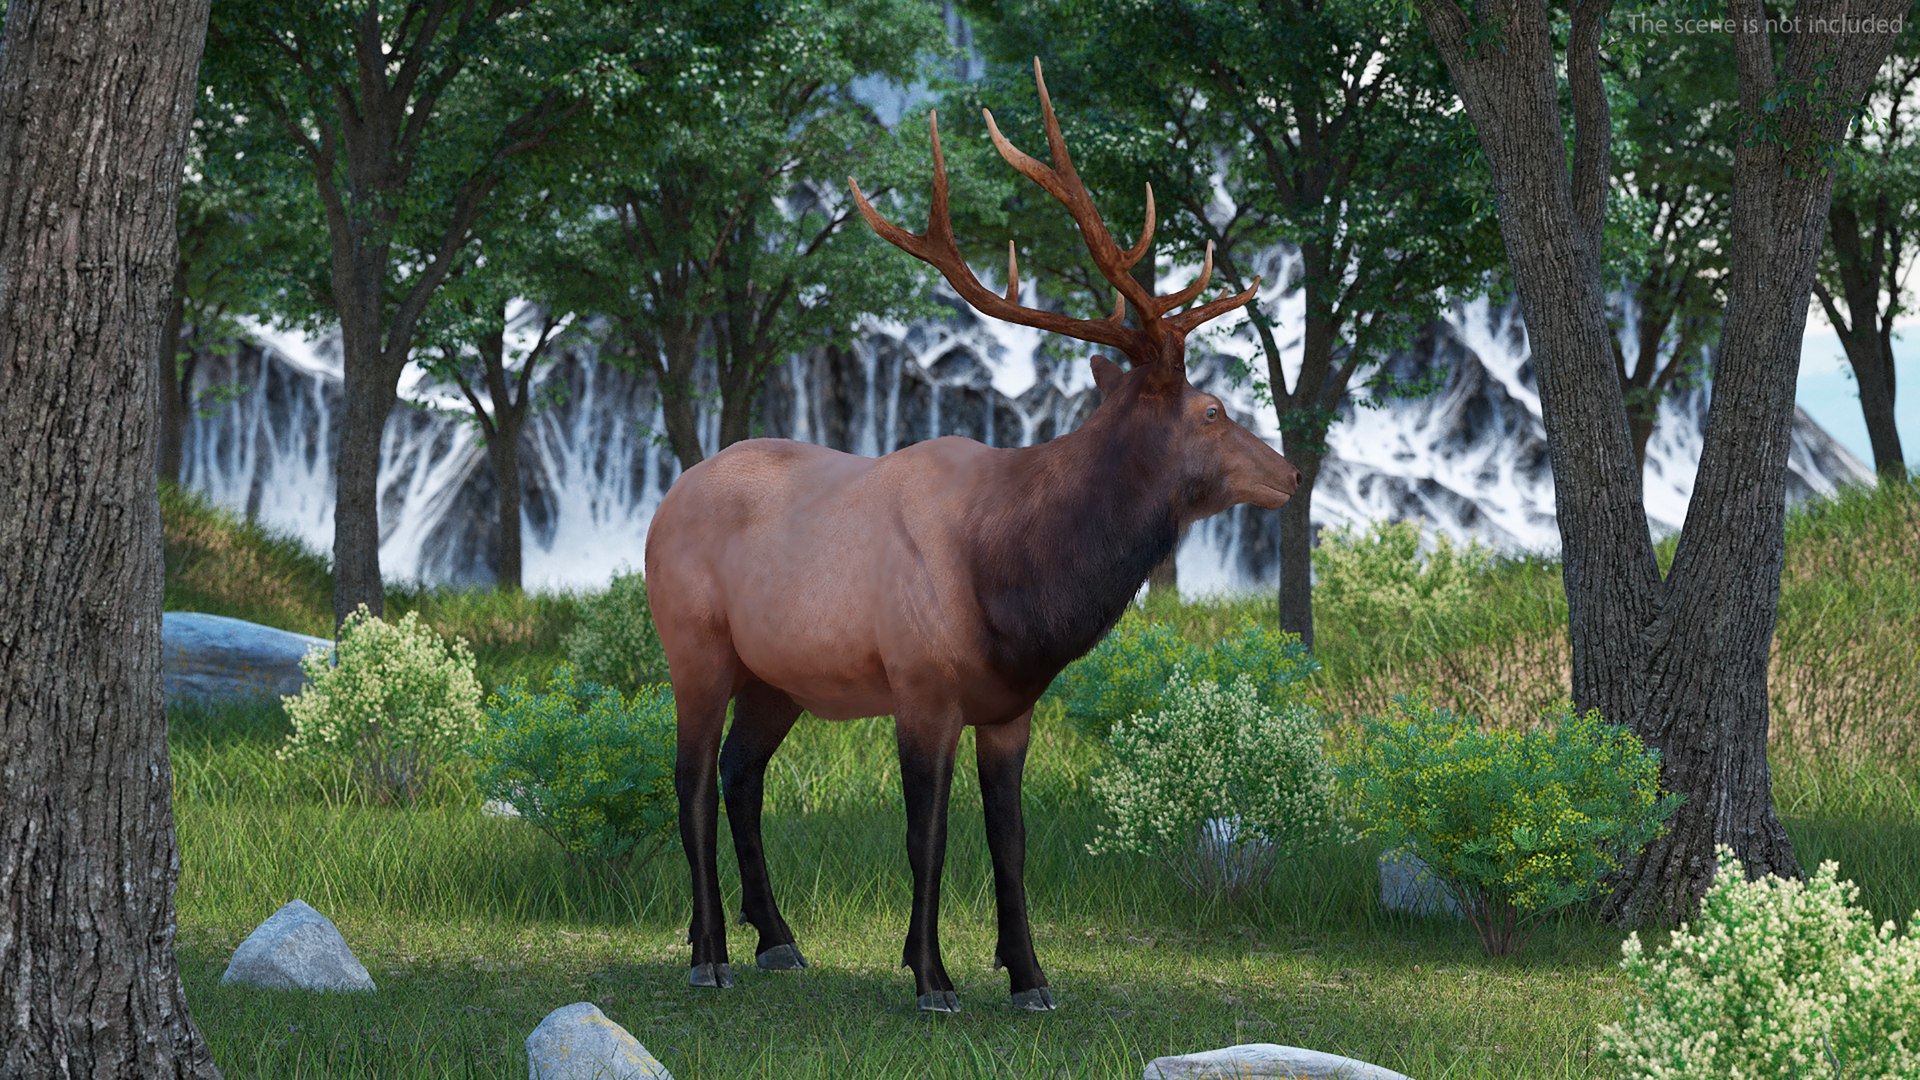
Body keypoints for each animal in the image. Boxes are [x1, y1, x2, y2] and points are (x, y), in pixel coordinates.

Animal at [642, 59, 1300, 1015]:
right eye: (1213, 410)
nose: (1294, 474)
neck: (1018, 589)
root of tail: (663, 502)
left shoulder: (1011, 708)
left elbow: (1009, 841)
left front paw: (1029, 976)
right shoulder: (921, 688)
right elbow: (928, 837)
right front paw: (931, 977)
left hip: (779, 677)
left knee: (740, 772)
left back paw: (779, 940)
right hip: (693, 641)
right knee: (690, 776)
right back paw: (709, 953)